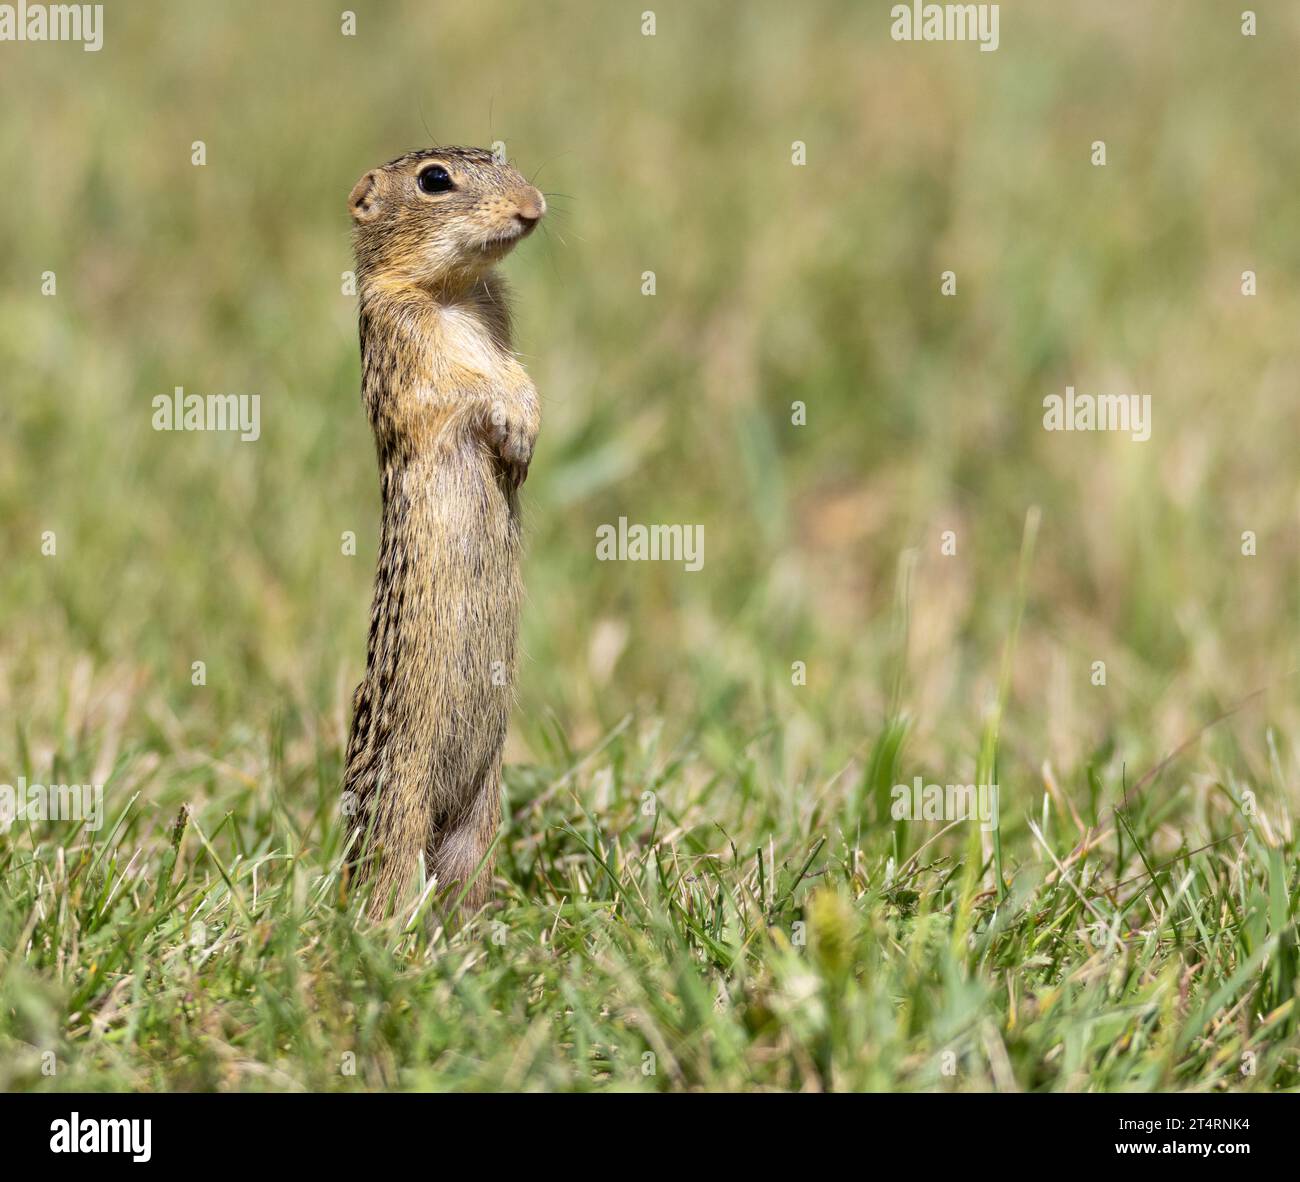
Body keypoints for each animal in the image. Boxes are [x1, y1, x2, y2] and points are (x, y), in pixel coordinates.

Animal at [341, 147, 545, 919]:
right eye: (434, 179)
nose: (534, 205)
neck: (458, 294)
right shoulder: (403, 346)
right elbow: (459, 391)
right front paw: (509, 421)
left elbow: (518, 374)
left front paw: (526, 429)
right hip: (401, 803)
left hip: (482, 813)